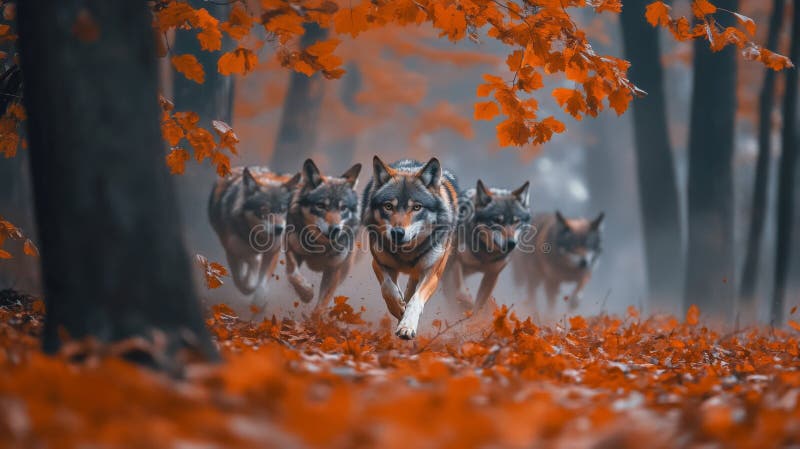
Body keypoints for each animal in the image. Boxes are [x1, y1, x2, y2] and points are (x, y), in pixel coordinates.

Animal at [208, 166, 301, 296]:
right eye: (264, 209)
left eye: (283, 209)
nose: (279, 229)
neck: (260, 239)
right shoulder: (232, 252)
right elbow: (243, 281)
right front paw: (250, 283)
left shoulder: (272, 252)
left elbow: (261, 281)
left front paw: (260, 295)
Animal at [285, 159, 362, 315]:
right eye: (320, 205)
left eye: (343, 208)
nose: (335, 229)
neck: (319, 246)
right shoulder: (291, 250)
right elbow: (293, 275)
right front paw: (306, 293)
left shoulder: (333, 271)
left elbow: (321, 305)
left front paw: (315, 320)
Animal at [362, 157, 459, 339]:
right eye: (388, 206)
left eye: (416, 207)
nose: (397, 233)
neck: (406, 253)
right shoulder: (378, 262)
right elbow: (388, 288)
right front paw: (398, 308)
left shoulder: (432, 273)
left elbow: (415, 300)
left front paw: (406, 326)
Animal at [443, 179, 531, 311]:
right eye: (497, 220)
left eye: (516, 221)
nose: (511, 243)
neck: (485, 254)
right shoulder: (456, 263)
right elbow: (461, 293)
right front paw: (467, 304)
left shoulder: (492, 275)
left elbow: (479, 305)